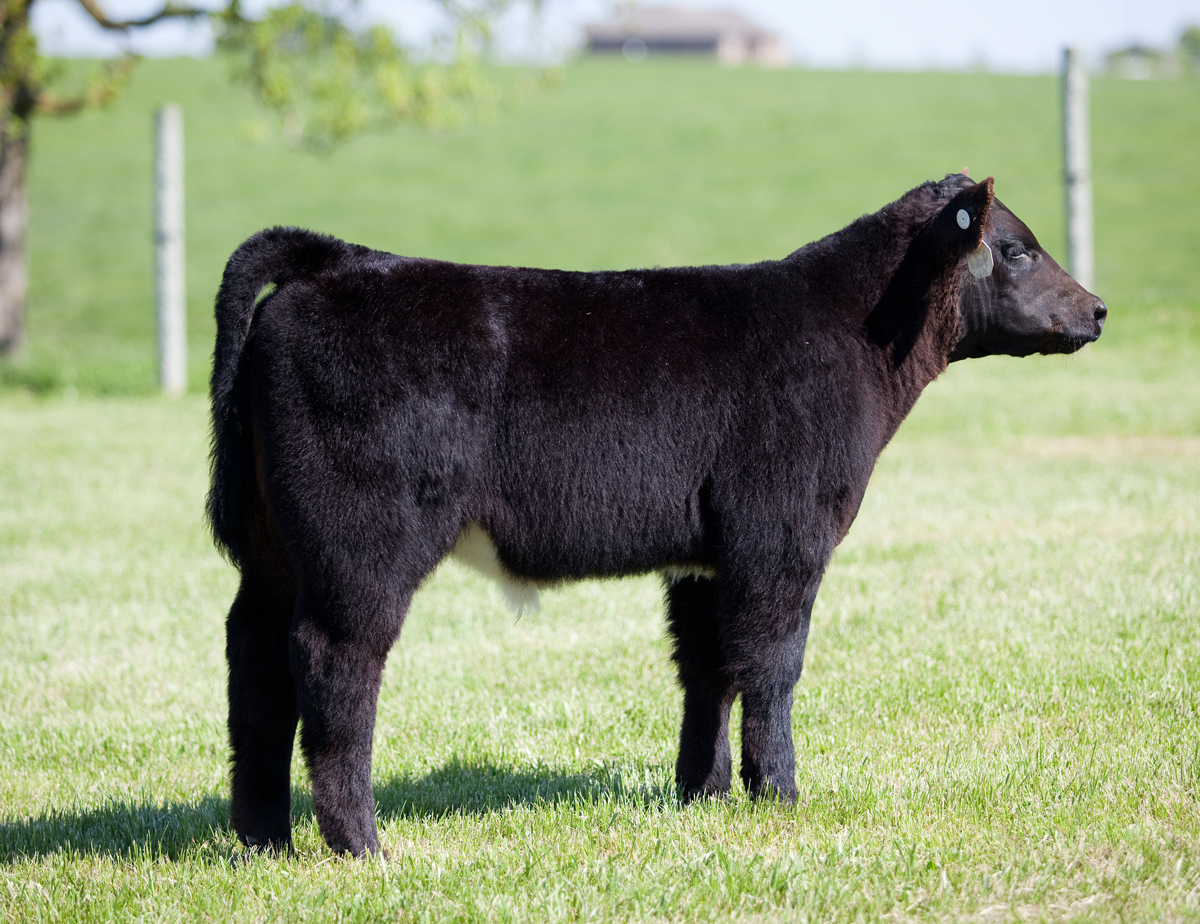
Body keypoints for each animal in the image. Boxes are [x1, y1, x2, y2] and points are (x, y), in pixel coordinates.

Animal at [207, 174, 1106, 857]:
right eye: (1016, 248)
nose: (1097, 309)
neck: (853, 334)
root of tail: (340, 261)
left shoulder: (706, 558)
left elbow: (706, 667)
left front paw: (701, 794)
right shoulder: (781, 540)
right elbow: (772, 666)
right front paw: (778, 795)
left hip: (270, 552)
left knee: (254, 664)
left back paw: (264, 841)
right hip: (362, 546)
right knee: (333, 662)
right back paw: (361, 844)